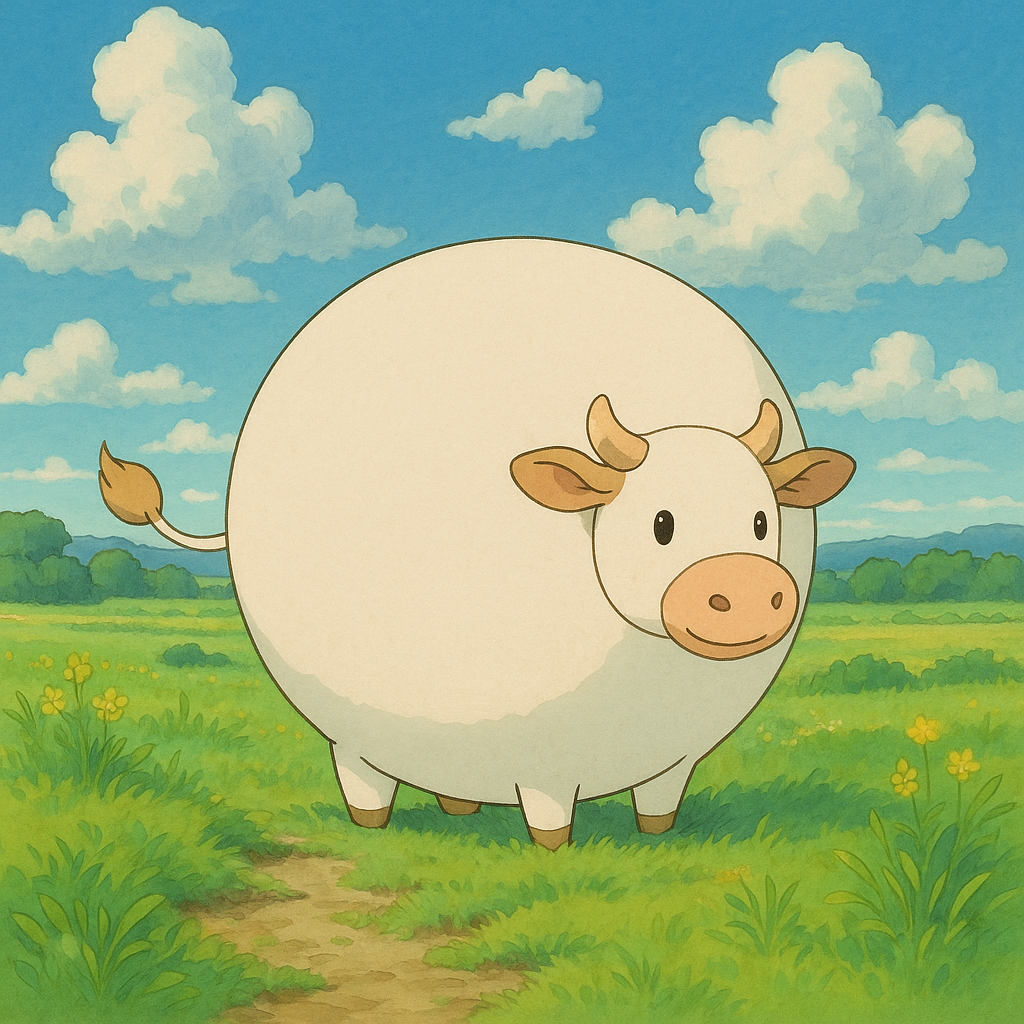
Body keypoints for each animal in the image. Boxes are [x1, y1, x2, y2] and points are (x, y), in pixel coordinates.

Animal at [99, 238, 854, 849]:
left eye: (761, 523)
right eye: (662, 522)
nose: (748, 584)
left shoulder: (675, 759)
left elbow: (658, 805)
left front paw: (656, 833)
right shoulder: (546, 769)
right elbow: (550, 821)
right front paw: (553, 850)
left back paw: (458, 807)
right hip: (353, 737)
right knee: (363, 774)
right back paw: (374, 823)